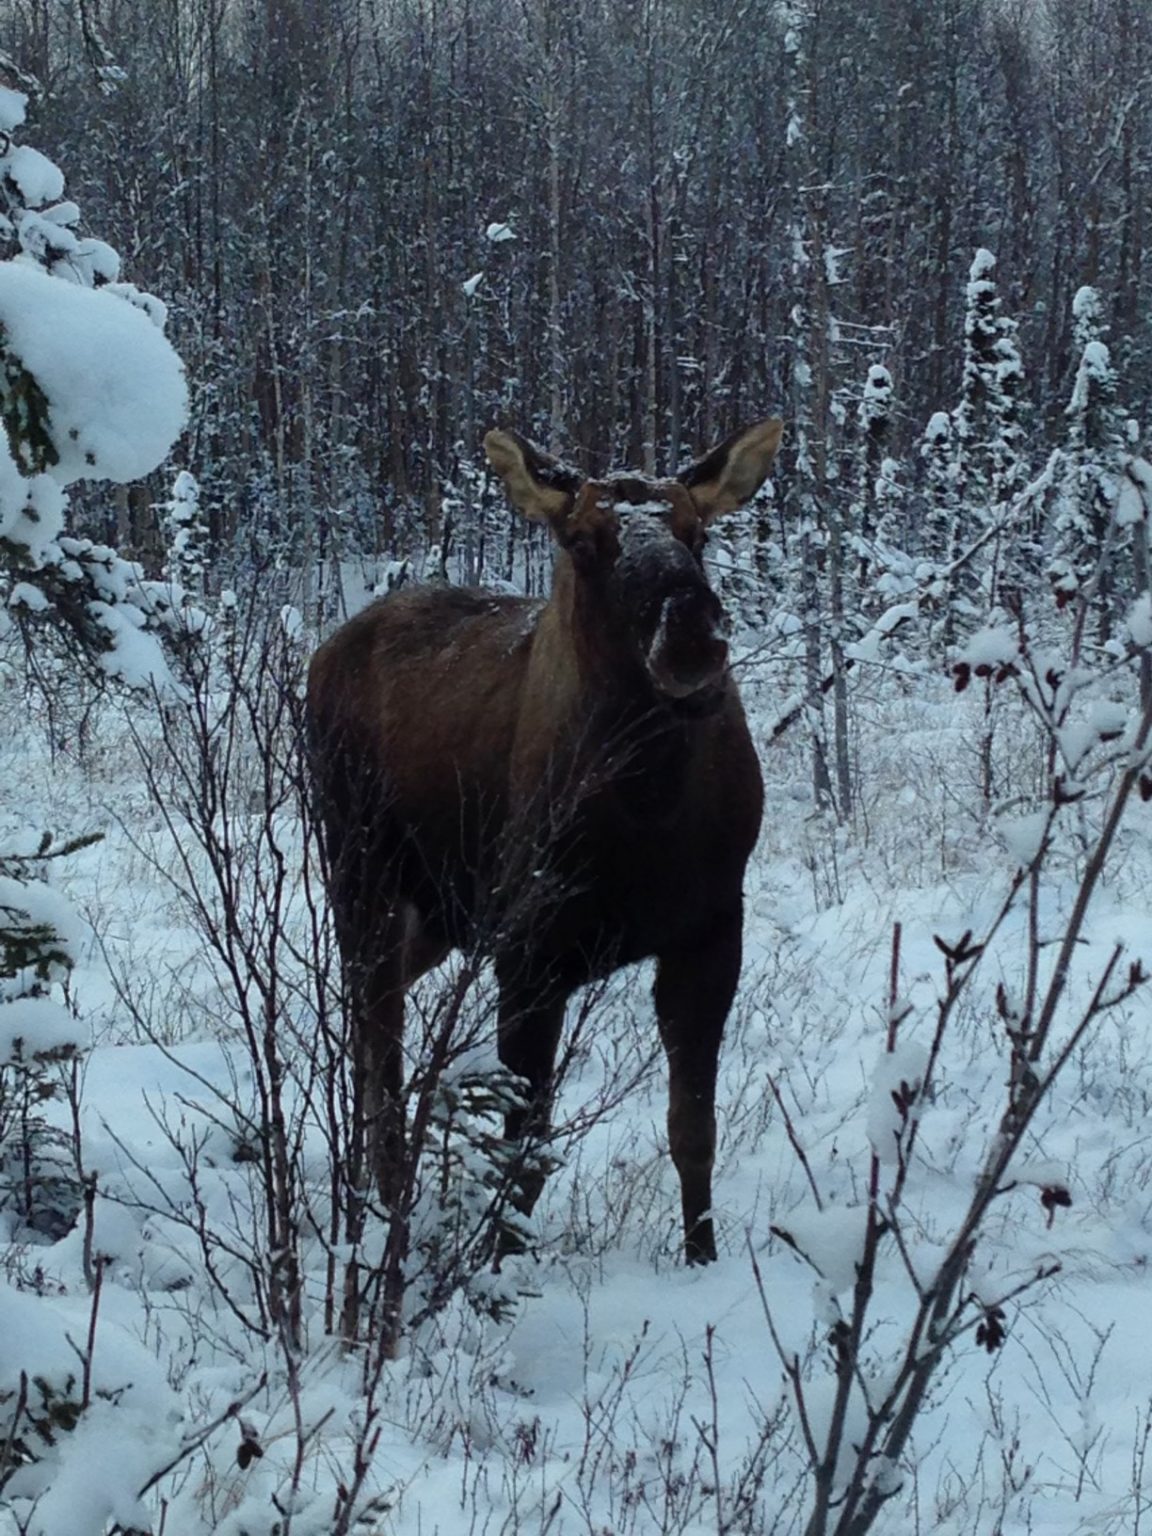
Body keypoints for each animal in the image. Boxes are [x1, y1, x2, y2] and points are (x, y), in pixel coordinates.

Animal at [306, 419, 781, 1264]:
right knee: (378, 1033)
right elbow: (524, 1146)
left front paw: (703, 1256)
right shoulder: (529, 952)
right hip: (358, 866)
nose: (692, 631)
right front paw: (498, 1261)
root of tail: (319, 659)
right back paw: (385, 1204)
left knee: (370, 1021)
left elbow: (693, 1129)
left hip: (436, 913)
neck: (647, 812)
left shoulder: (710, 929)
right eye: (584, 539)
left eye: (697, 530)